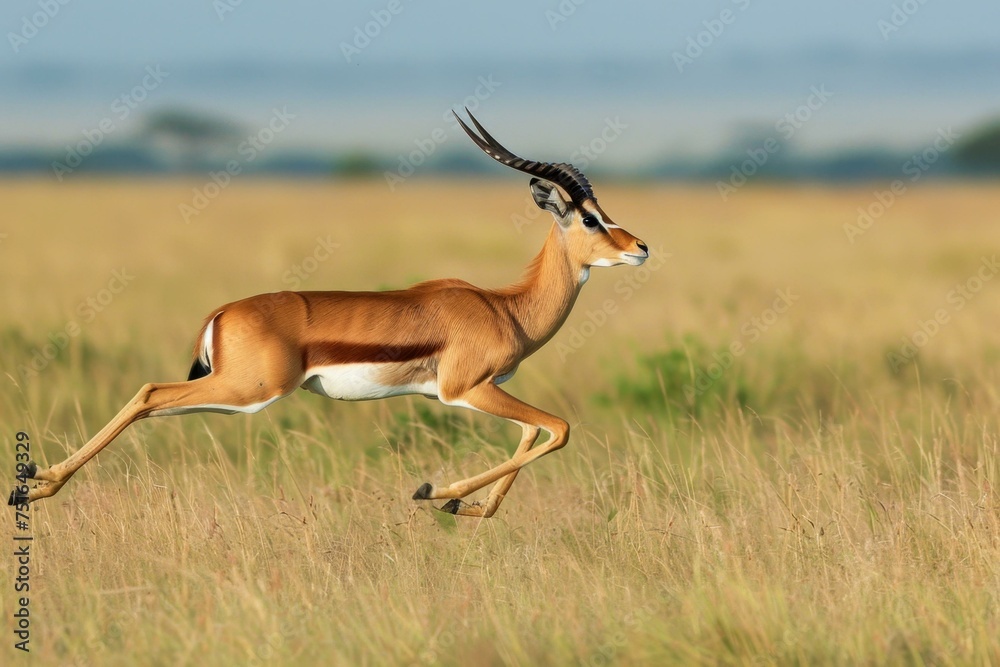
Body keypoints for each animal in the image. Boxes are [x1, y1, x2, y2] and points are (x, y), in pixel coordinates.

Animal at [10, 111, 648, 518]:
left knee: (148, 397)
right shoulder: (466, 389)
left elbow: (531, 433)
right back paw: (34, 487)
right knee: (148, 392)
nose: (640, 247)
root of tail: (222, 311)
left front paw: (464, 506)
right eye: (588, 218)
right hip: (248, 390)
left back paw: (34, 484)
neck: (505, 306)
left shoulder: (487, 391)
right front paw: (435, 491)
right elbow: (557, 427)